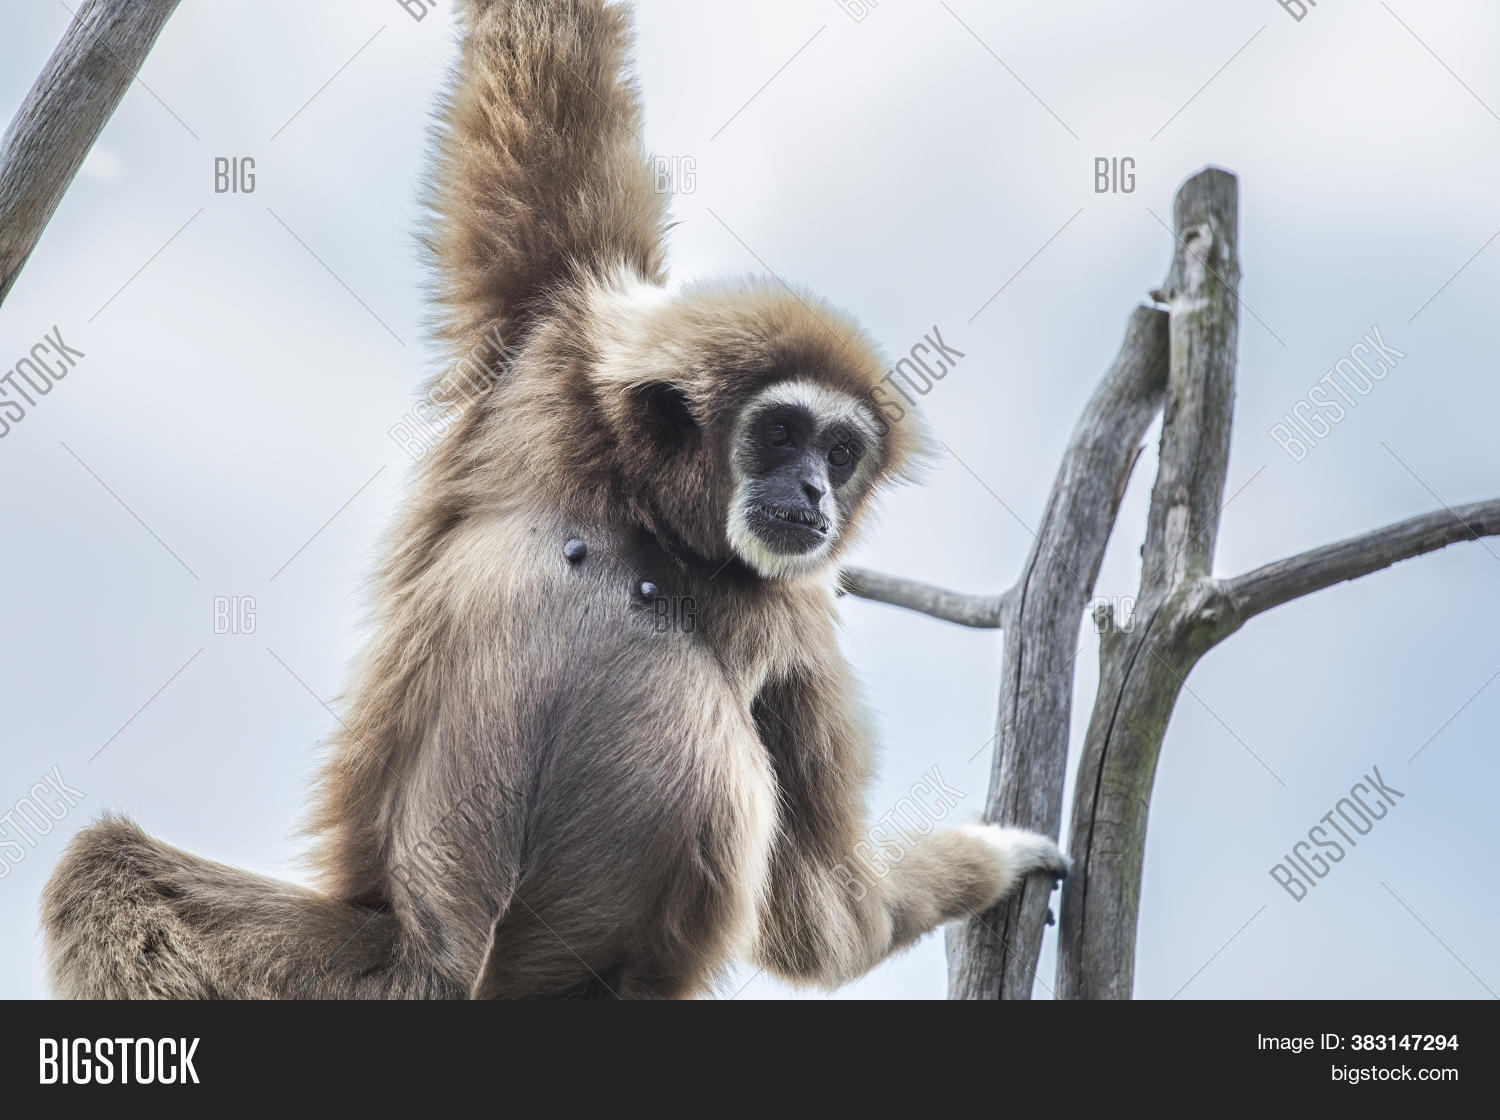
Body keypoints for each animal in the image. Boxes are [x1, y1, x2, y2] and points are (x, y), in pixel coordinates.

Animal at [41, 0, 1069, 1000]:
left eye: (843, 451)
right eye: (783, 433)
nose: (814, 487)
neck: (661, 528)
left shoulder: (803, 631)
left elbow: (826, 917)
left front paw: (996, 862)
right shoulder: (551, 344)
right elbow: (550, 61)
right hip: (382, 971)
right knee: (106, 869)